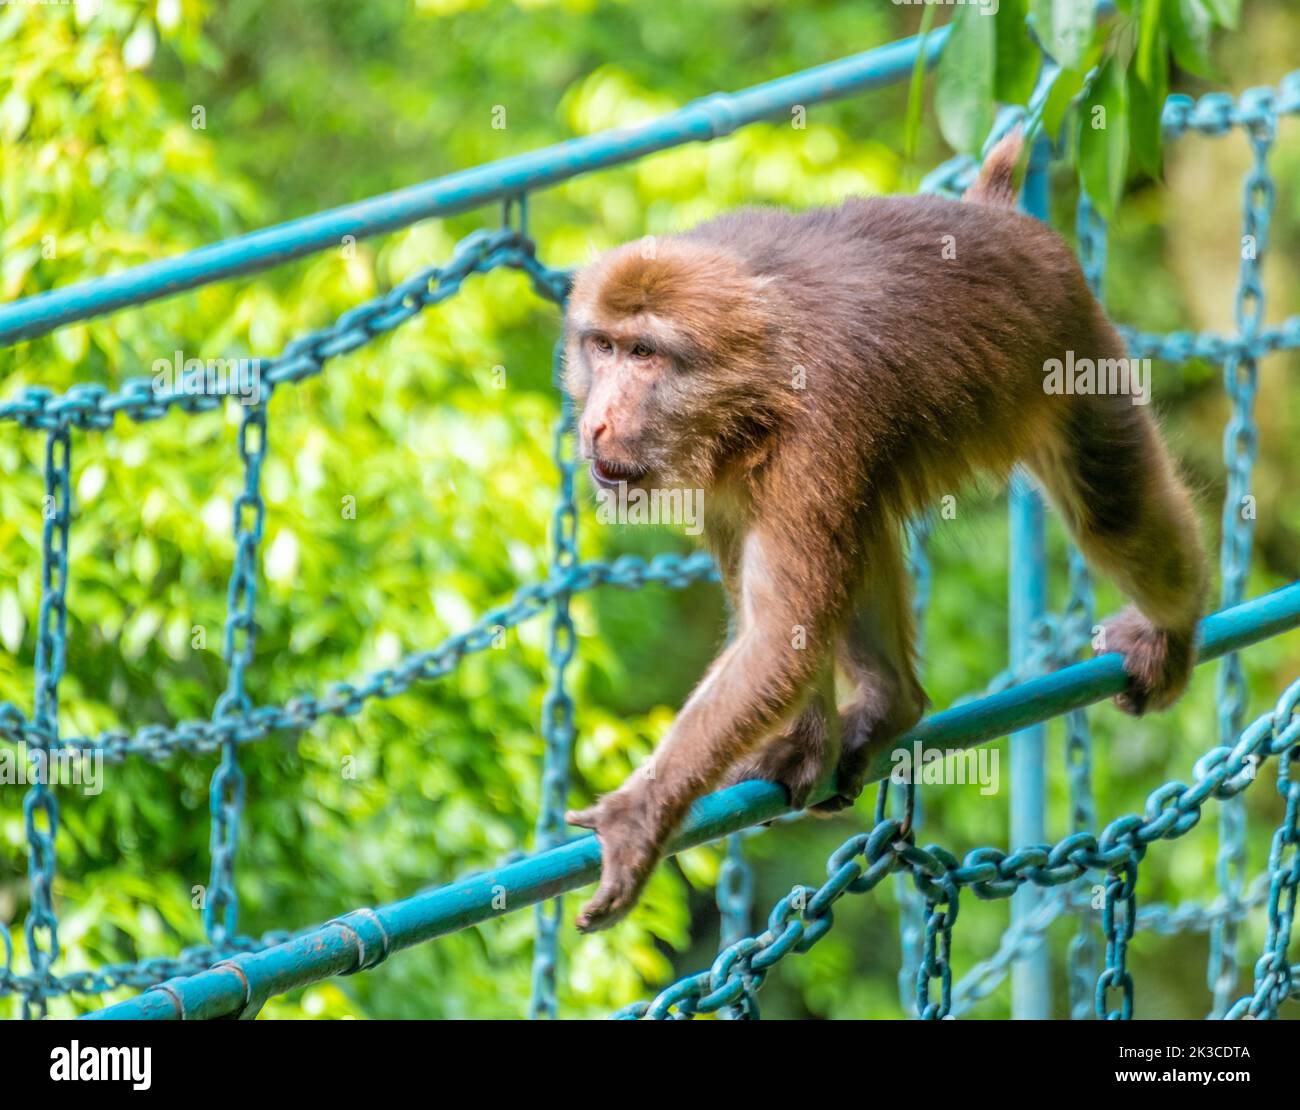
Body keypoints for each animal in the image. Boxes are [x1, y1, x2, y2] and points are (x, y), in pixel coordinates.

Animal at [560, 131, 1206, 933]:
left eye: (644, 355)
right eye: (602, 348)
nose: (597, 421)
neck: (751, 392)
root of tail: (997, 217)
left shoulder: (817, 421)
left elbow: (784, 633)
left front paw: (639, 815)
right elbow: (782, 621)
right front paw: (805, 747)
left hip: (1074, 353)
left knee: (1109, 514)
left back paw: (1176, 626)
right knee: (861, 519)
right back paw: (893, 702)